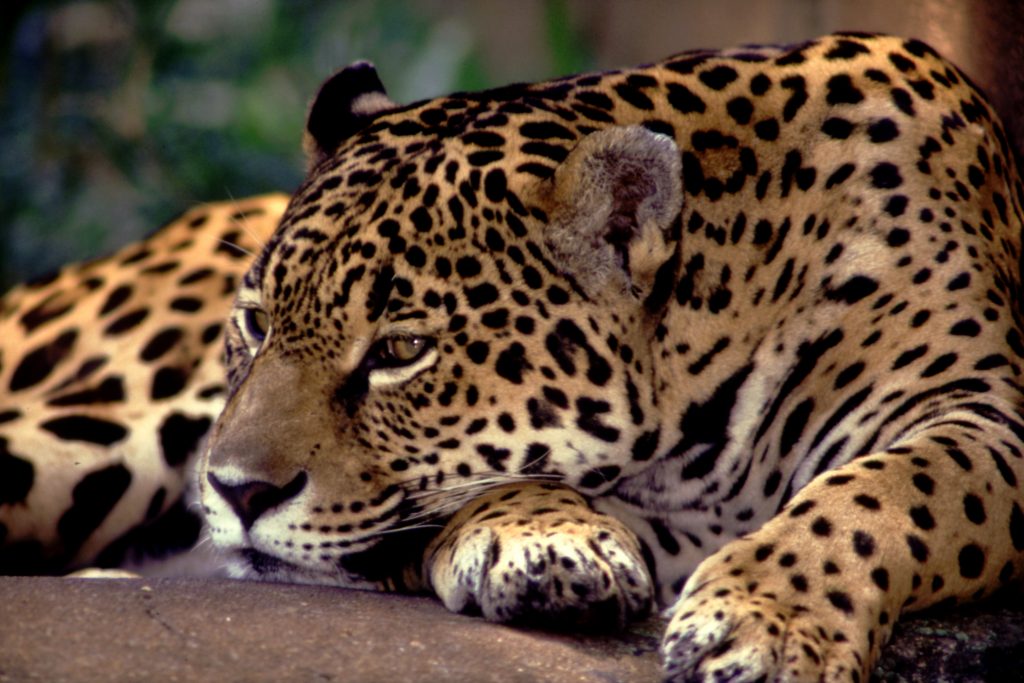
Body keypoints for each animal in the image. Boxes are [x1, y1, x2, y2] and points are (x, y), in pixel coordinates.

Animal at [3, 32, 1024, 682]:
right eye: (254, 321)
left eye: (402, 348)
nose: (237, 491)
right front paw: (538, 537)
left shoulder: (984, 411)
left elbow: (888, 492)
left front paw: (765, 618)